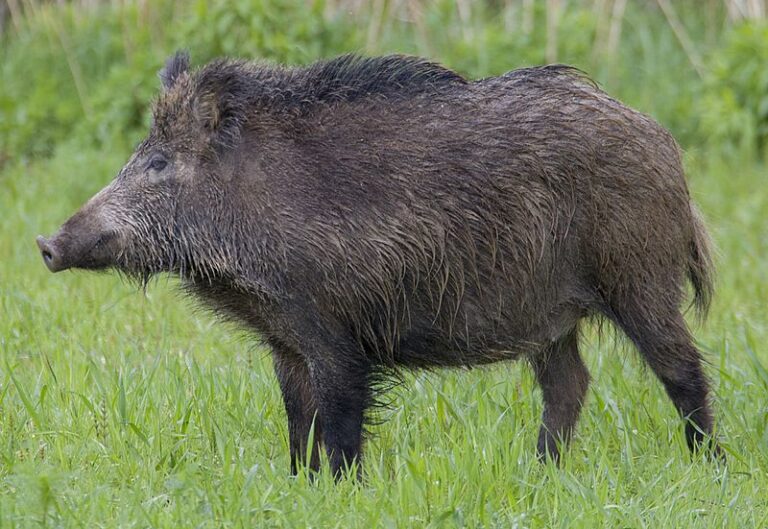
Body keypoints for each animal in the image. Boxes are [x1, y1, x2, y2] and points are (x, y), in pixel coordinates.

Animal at [37, 52, 721, 477]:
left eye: (158, 163)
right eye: (137, 154)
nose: (46, 243)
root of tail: (662, 141)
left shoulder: (337, 333)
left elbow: (339, 423)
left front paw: (343, 492)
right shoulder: (286, 340)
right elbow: (297, 421)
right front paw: (299, 487)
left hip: (638, 275)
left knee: (681, 368)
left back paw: (709, 465)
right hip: (550, 313)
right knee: (569, 384)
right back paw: (541, 473)